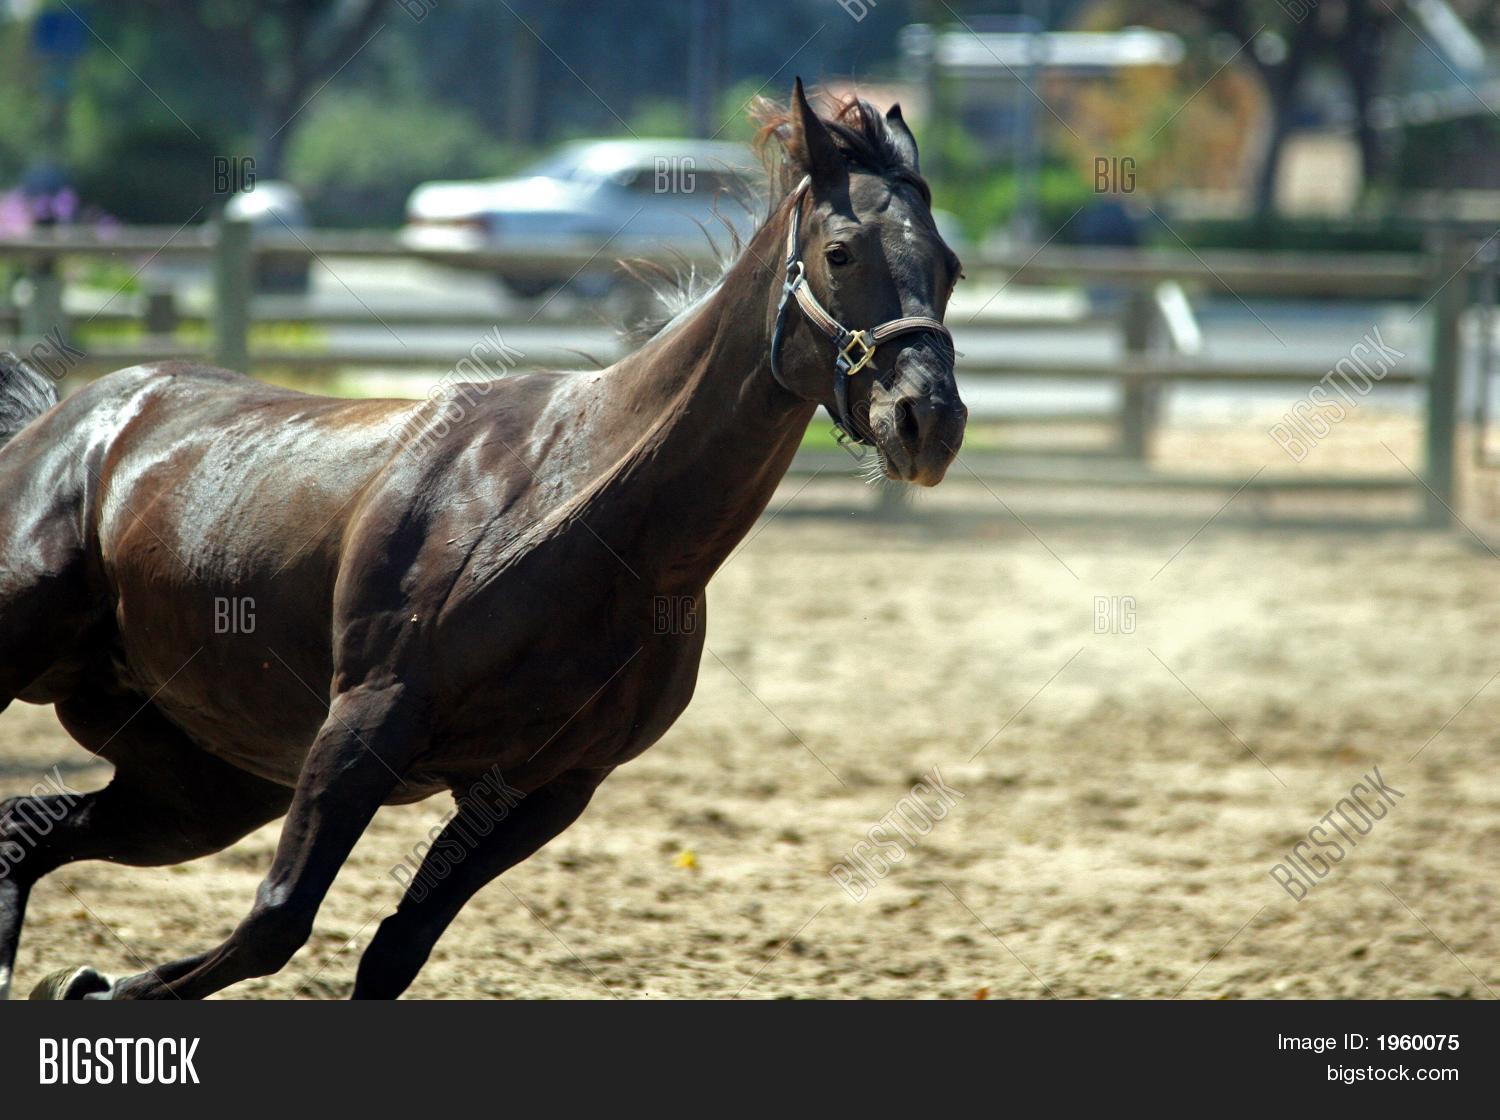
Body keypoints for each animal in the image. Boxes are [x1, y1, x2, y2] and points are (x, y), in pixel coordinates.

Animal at [0, 79, 966, 999]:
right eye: (841, 252)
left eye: (949, 265)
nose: (931, 421)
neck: (579, 517)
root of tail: (63, 422)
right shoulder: (364, 726)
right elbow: (275, 920)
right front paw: (106, 989)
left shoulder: (545, 790)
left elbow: (393, 950)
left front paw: (88, 983)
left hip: (207, 784)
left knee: (26, 834)